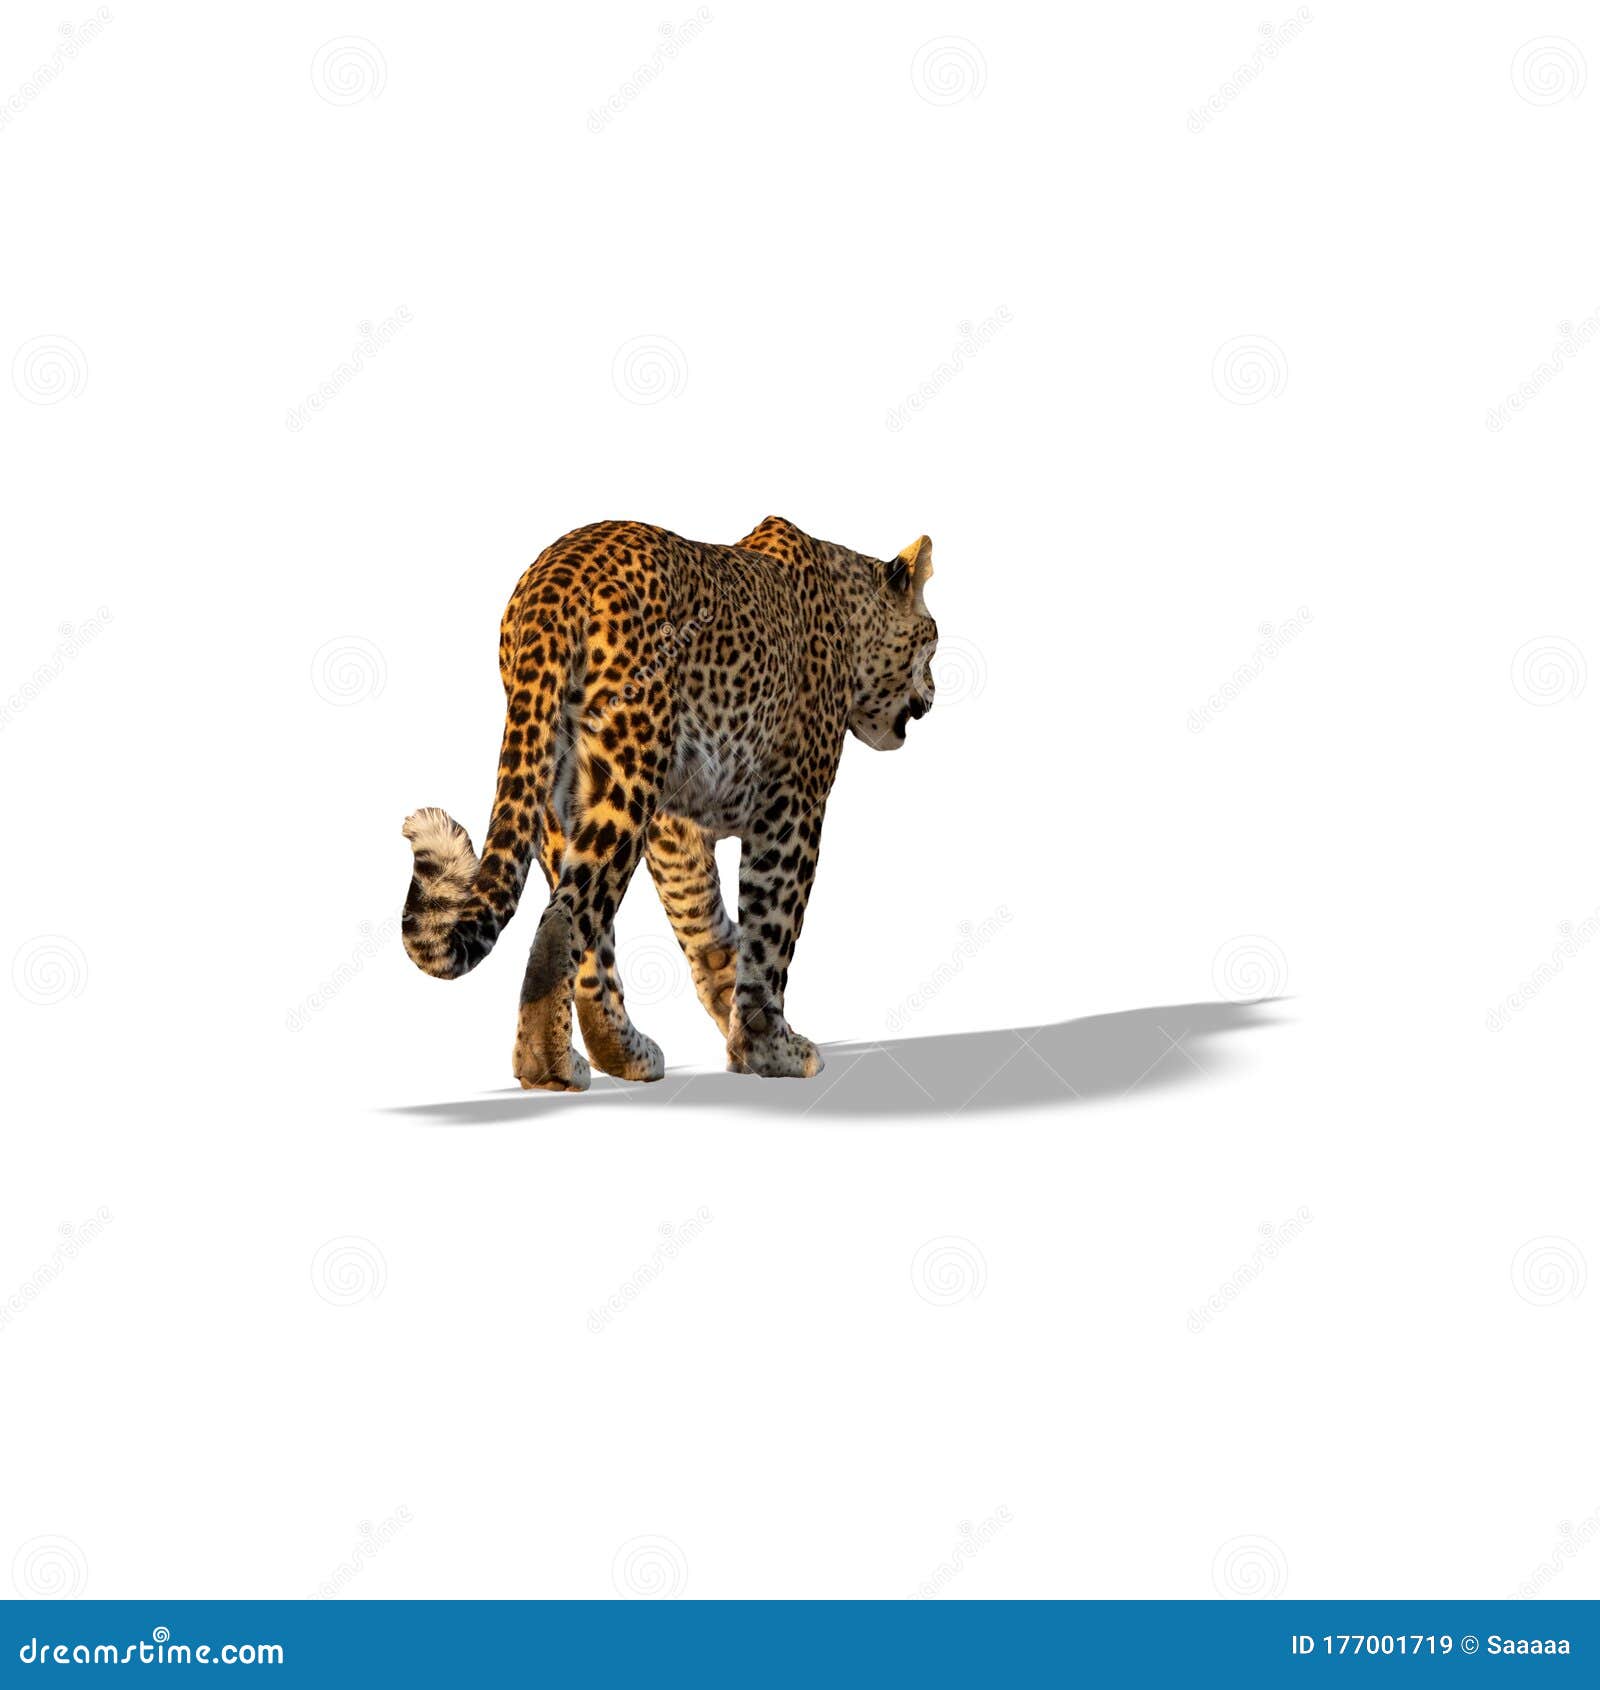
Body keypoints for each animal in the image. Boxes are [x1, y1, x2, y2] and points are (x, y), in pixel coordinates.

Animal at [399, 516, 938, 1090]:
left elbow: (703, 916)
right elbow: (772, 926)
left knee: (588, 928)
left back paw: (620, 1052)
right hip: (628, 770)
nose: (933, 690)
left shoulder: (676, 821)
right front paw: (772, 1048)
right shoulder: (793, 804)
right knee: (565, 916)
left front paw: (734, 1018)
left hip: (557, 787)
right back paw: (549, 1066)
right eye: (933, 641)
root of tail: (559, 574)